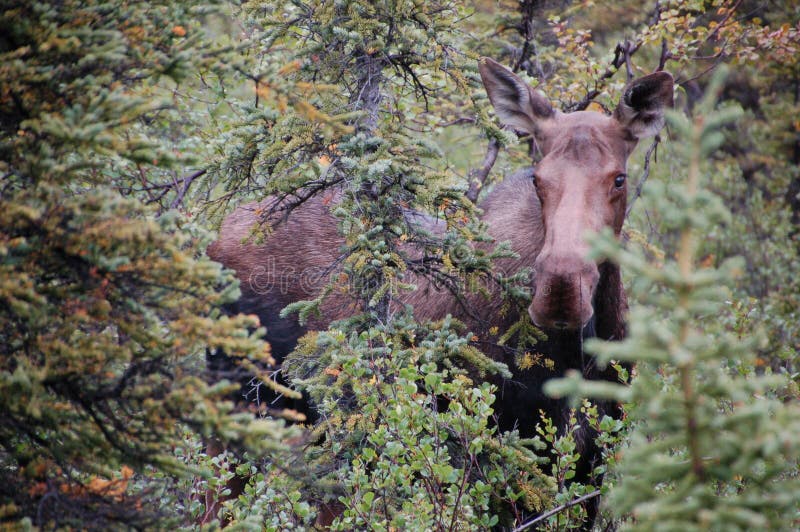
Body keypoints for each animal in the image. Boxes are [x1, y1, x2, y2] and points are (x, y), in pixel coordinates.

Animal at [206, 57, 674, 526]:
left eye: (619, 179)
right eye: (539, 180)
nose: (561, 290)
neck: (581, 353)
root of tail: (214, 236)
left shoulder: (591, 464)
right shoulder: (511, 462)